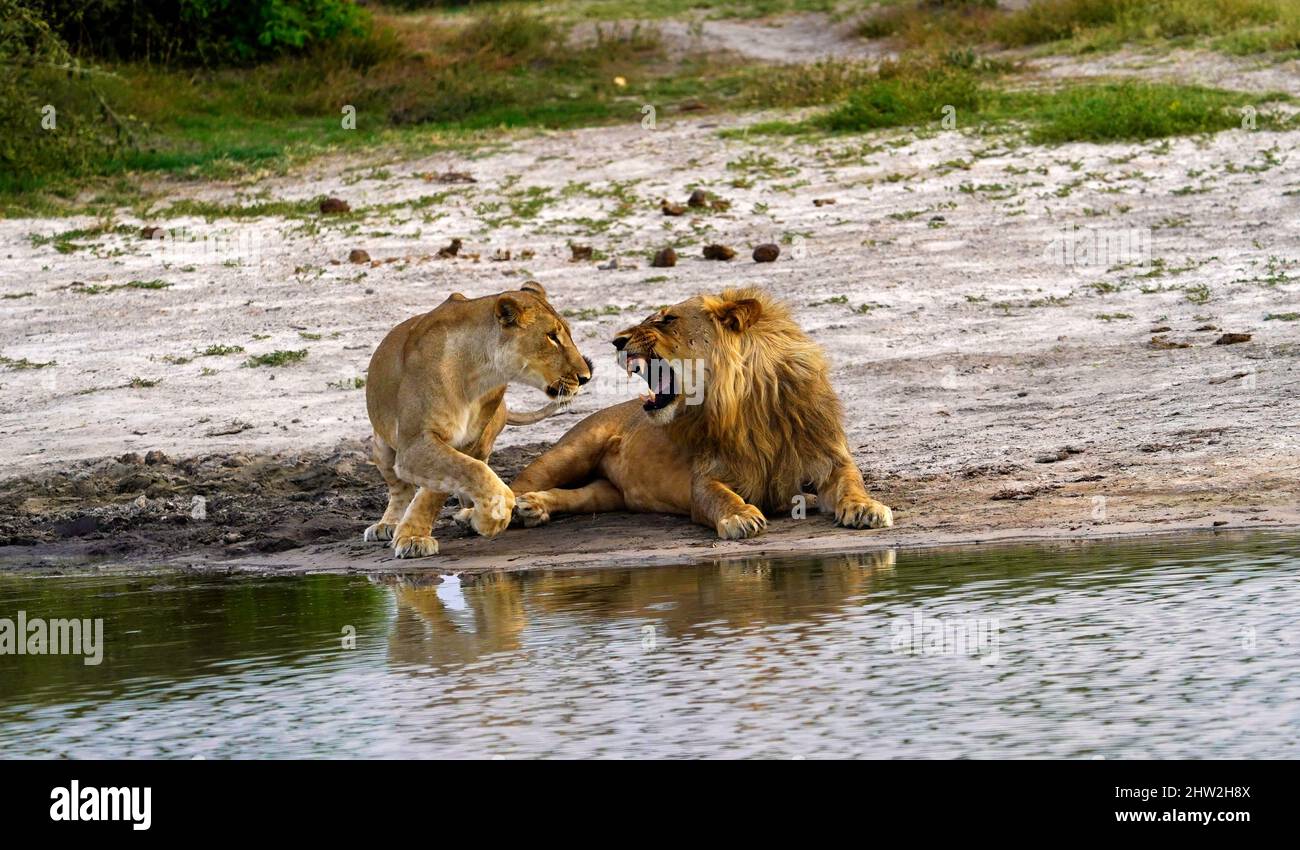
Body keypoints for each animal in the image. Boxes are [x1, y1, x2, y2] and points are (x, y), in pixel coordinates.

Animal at [364, 281, 592, 558]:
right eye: (551, 336)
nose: (585, 377)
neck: (480, 373)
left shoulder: (466, 441)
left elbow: (441, 488)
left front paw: (423, 534)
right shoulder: (414, 443)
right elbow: (473, 472)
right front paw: (492, 515)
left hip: (482, 443)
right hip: (382, 448)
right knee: (400, 490)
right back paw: (386, 525)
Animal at [508, 286, 892, 539]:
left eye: (667, 320)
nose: (616, 340)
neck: (747, 403)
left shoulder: (829, 459)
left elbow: (852, 482)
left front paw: (866, 508)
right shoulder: (705, 478)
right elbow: (720, 496)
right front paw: (741, 517)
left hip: (607, 493)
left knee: (575, 496)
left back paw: (536, 508)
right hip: (573, 450)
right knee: (519, 483)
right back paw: (503, 509)